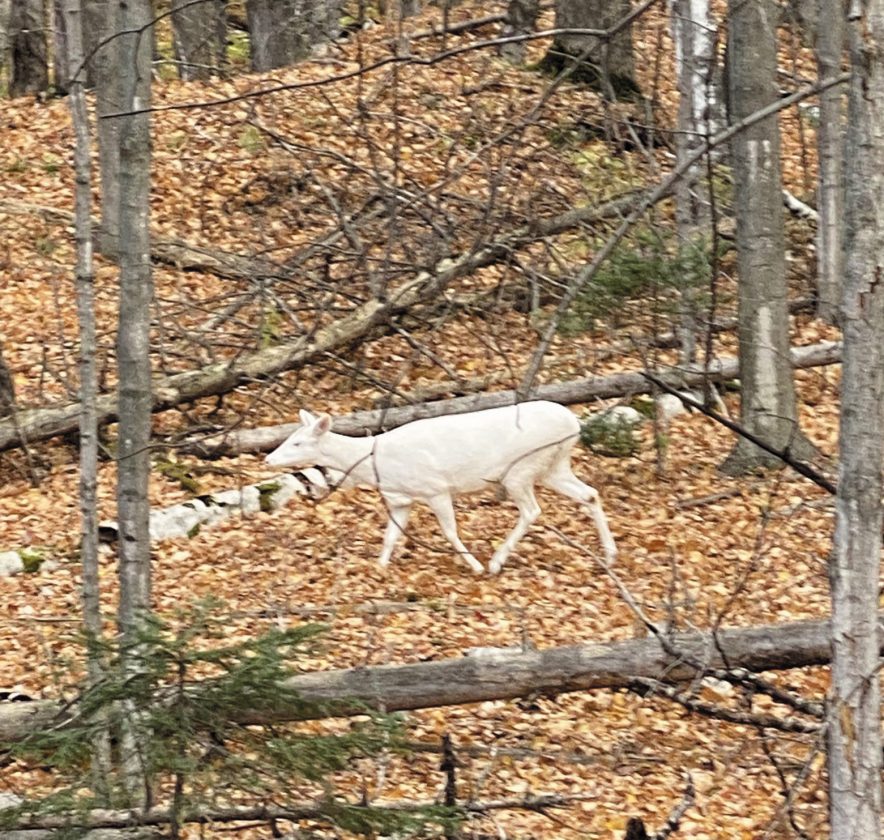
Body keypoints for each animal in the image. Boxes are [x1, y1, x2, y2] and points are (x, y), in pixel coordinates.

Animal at [265, 401, 618, 575]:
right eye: (289, 437)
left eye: (297, 442)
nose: (268, 459)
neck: (377, 463)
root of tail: (575, 424)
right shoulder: (401, 500)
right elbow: (390, 535)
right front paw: (380, 568)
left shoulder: (435, 487)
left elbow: (449, 531)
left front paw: (475, 566)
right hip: (554, 466)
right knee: (590, 493)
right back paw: (610, 555)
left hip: (523, 468)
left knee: (532, 510)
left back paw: (495, 562)